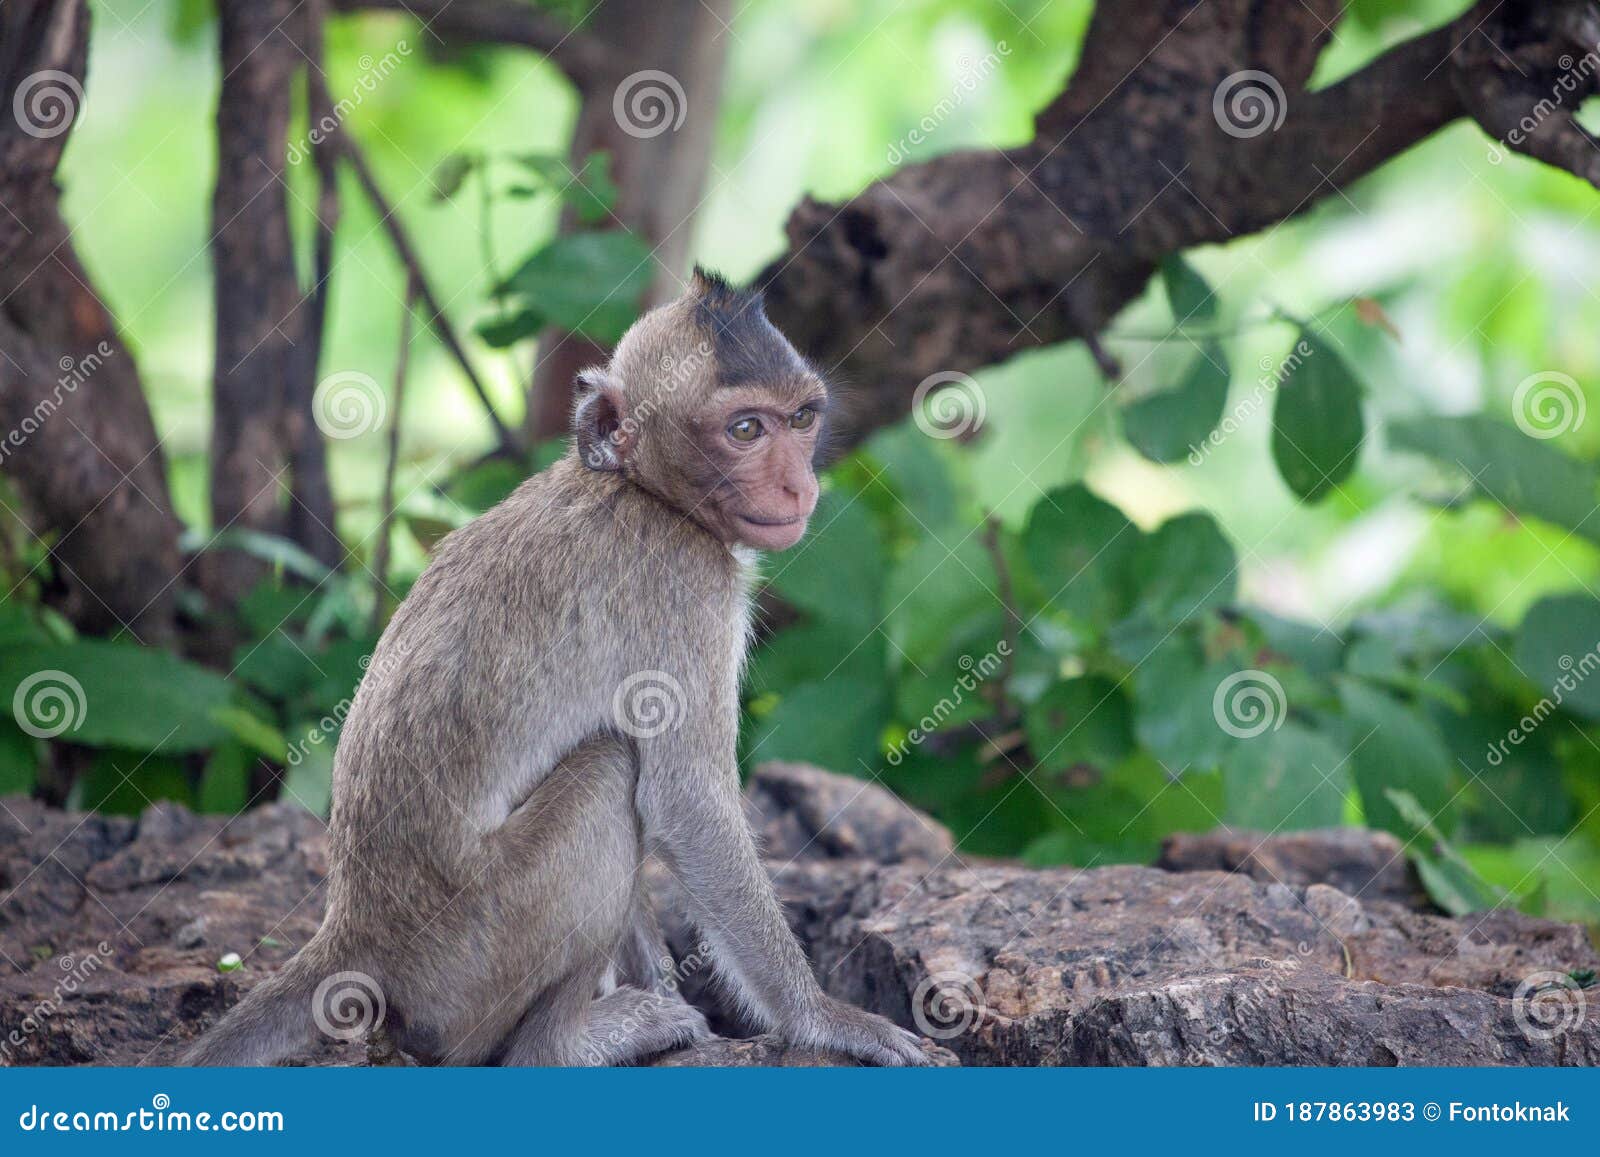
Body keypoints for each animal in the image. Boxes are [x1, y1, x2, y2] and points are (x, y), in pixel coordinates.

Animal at [182, 269, 929, 1067]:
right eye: (745, 430)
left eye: (801, 418)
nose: (799, 488)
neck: (639, 488)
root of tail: (352, 934)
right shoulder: (685, 588)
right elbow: (687, 804)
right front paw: (827, 1018)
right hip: (473, 953)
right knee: (608, 772)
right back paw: (565, 1041)